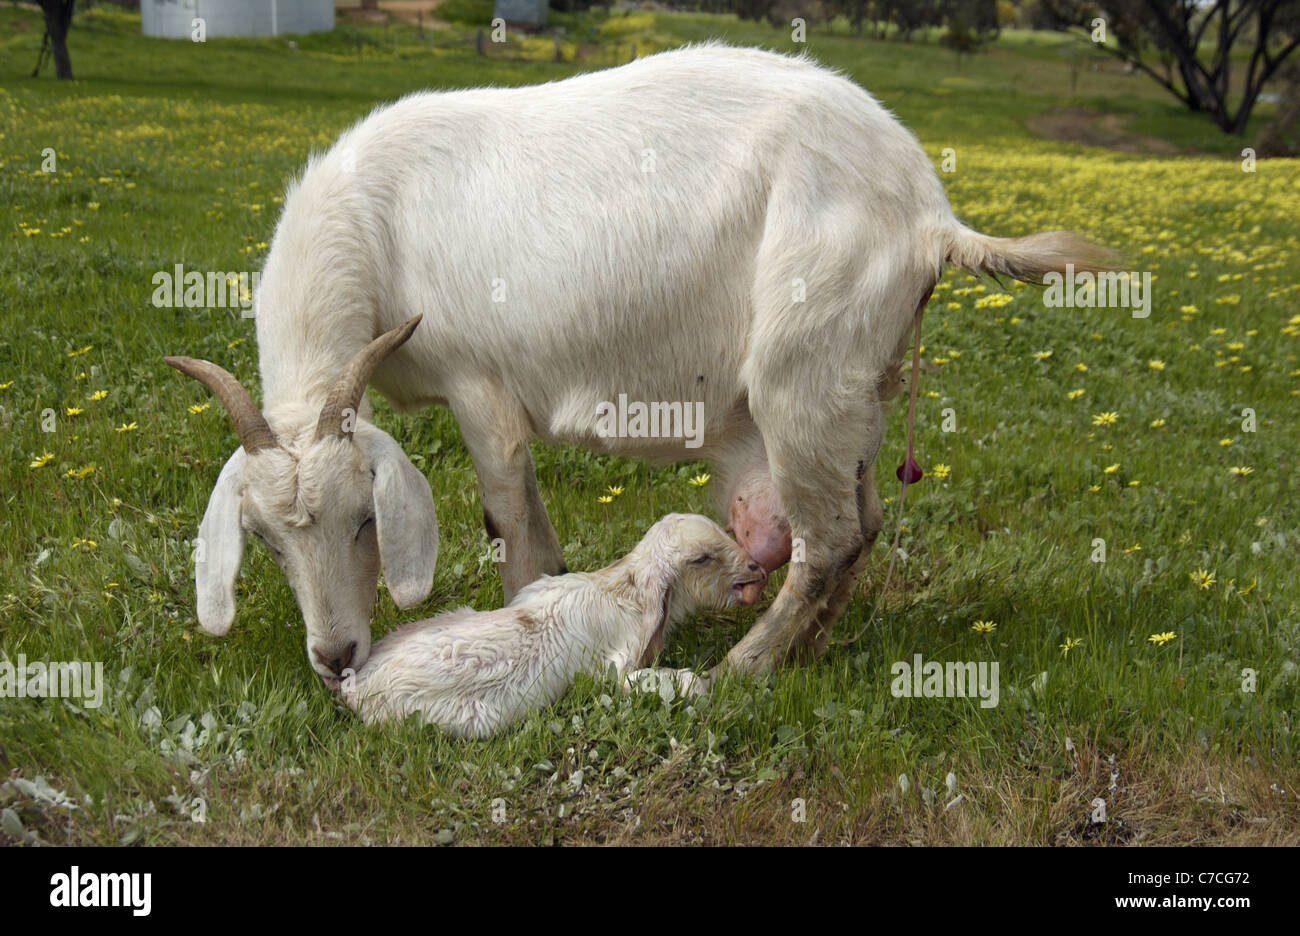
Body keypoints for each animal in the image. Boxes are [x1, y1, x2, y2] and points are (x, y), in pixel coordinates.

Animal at [168, 44, 1112, 681]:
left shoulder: (479, 385)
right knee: (866, 521)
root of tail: (930, 211)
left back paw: (744, 669)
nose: (335, 656)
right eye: (262, 541)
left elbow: (512, 524)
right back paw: (808, 651)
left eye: (367, 518)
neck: (375, 223)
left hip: (802, 370)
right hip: (863, 383)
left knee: (831, 539)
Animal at [336, 514, 766, 738]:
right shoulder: (613, 667)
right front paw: (702, 684)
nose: (756, 568)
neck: (621, 590)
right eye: (702, 558)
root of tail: (354, 686)